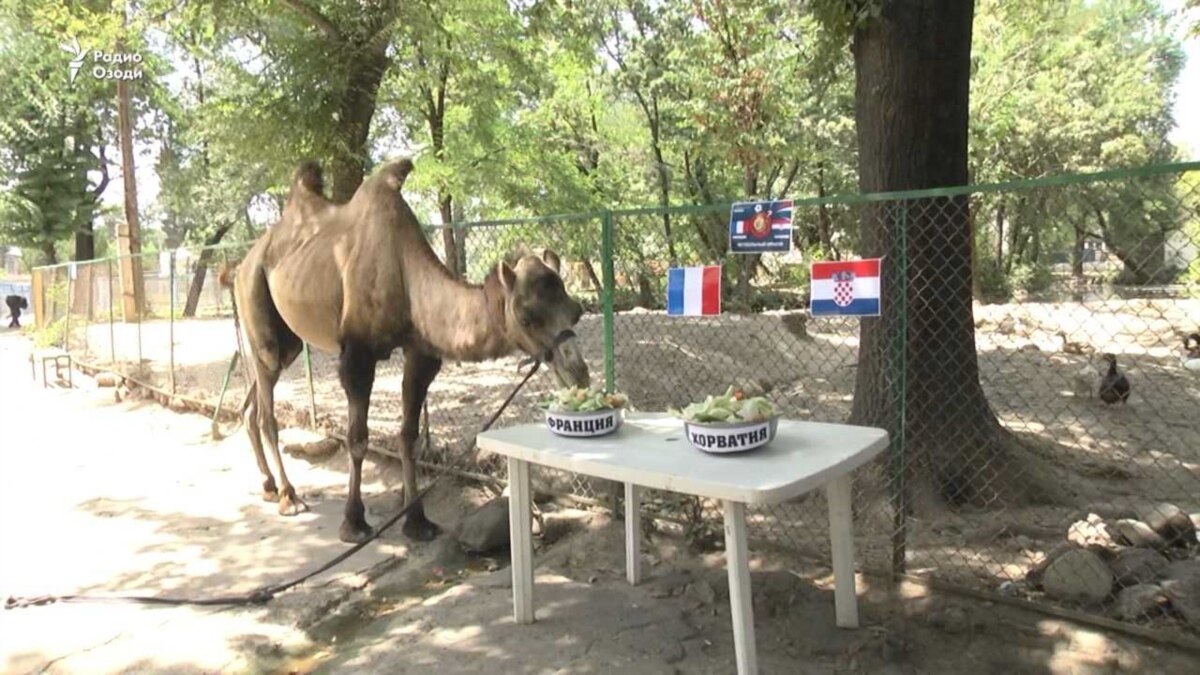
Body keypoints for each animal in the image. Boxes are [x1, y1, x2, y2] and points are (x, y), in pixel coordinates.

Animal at [224, 158, 590, 543]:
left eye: (576, 311)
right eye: (527, 316)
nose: (578, 372)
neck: (406, 276)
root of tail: (240, 264)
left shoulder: (421, 353)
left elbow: (409, 437)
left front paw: (417, 520)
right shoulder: (357, 355)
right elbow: (358, 439)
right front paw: (354, 523)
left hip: (289, 343)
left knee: (253, 402)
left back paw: (267, 485)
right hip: (256, 306)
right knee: (267, 409)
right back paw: (288, 497)